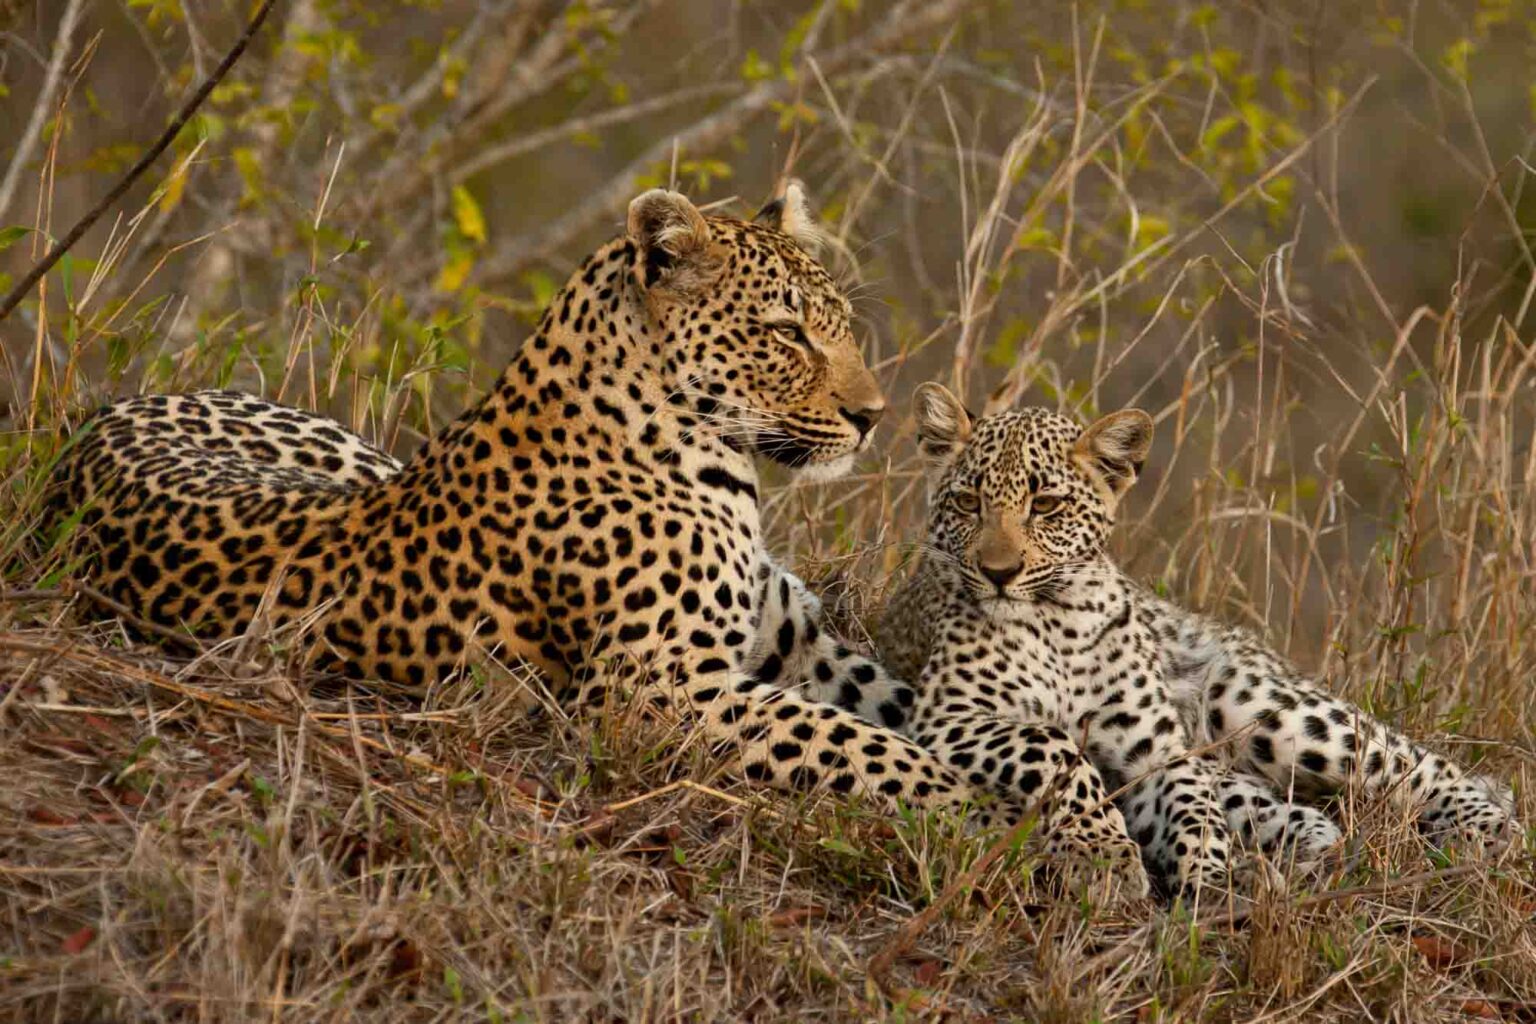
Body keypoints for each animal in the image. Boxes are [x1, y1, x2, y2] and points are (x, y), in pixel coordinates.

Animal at [52, 185, 1058, 838]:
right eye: (783, 332)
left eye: (840, 323)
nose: (873, 415)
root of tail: (99, 418)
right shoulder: (657, 692)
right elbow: (867, 750)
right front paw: (988, 813)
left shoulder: (795, 646)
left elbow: (906, 712)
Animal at [877, 383, 1520, 892]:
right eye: (967, 502)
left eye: (1047, 504)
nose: (998, 572)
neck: (1057, 619)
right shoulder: (950, 716)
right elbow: (1056, 745)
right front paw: (1105, 856)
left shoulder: (1158, 749)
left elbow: (1190, 802)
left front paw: (1206, 872)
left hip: (1264, 706)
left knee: (1420, 765)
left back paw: (1495, 829)